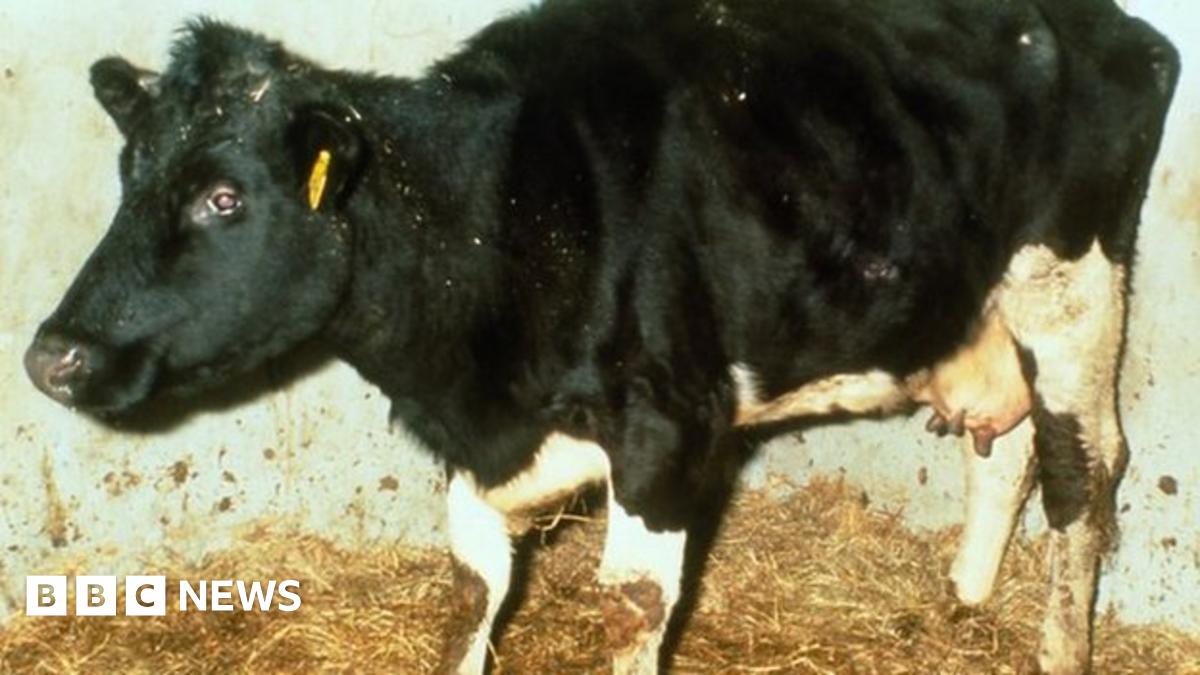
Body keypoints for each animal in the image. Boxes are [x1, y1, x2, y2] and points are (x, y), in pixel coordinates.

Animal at [23, 0, 1177, 672]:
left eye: (223, 197)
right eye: (130, 173)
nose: (51, 353)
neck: (510, 210)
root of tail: (1120, 28)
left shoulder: (672, 431)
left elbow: (631, 605)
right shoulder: (491, 446)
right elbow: (471, 591)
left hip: (1074, 282)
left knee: (1082, 469)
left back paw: (1056, 648)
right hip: (975, 304)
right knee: (1010, 441)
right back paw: (962, 599)